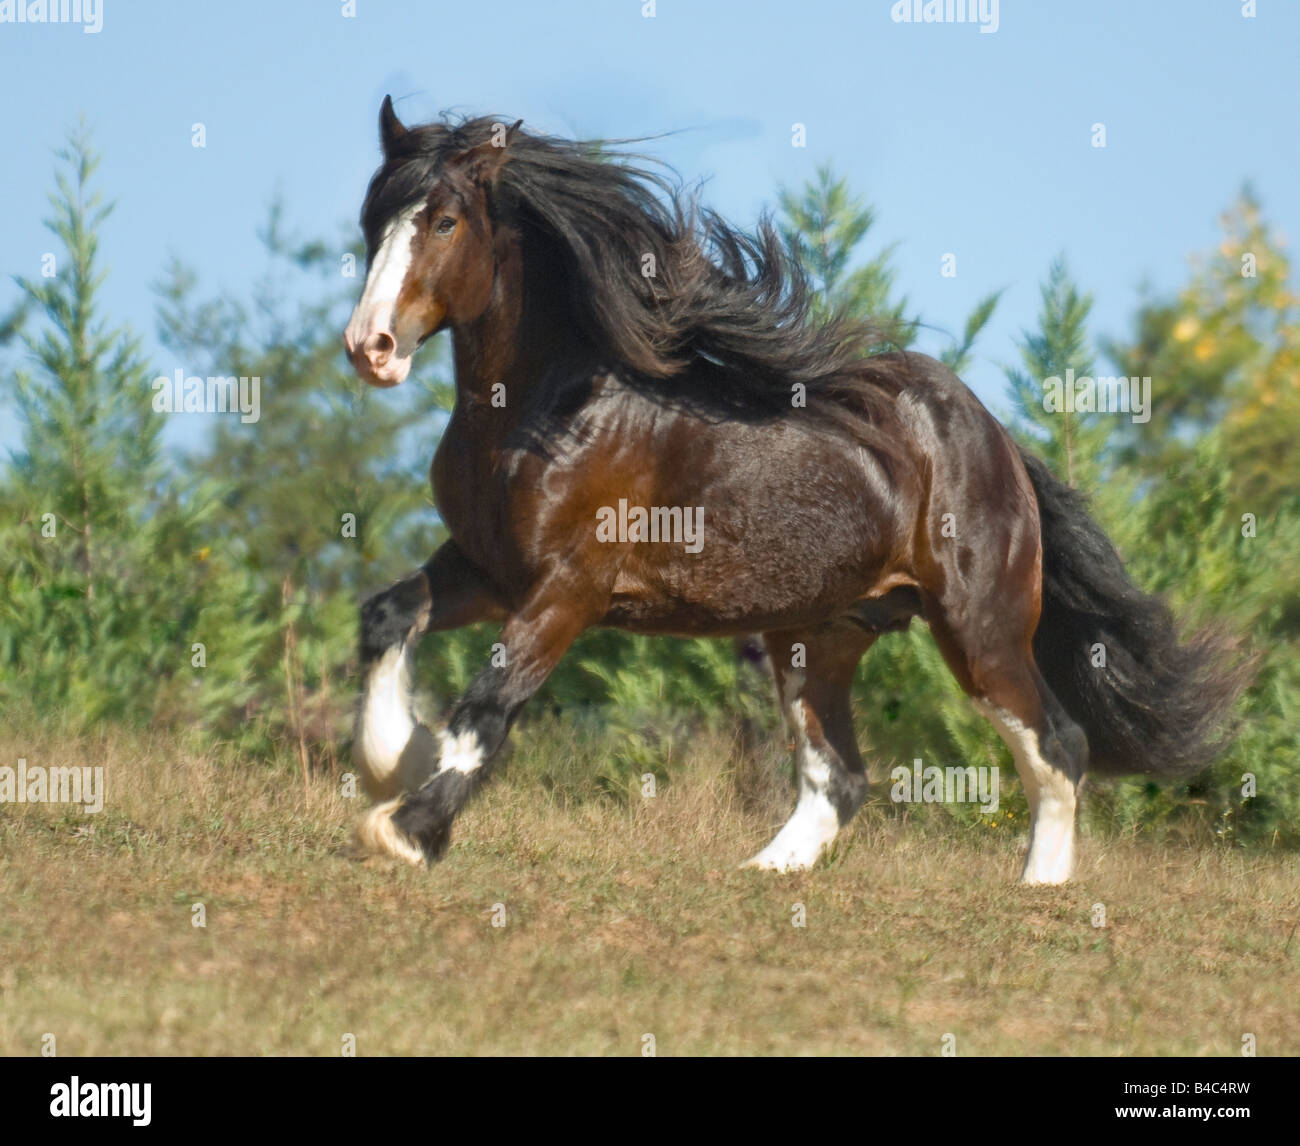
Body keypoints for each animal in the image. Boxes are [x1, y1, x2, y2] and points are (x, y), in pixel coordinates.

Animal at [341, 97, 1244, 884]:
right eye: (372, 221)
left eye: (444, 220)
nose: (369, 347)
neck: (547, 409)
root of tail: (996, 441)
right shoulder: (488, 567)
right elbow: (388, 616)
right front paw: (396, 756)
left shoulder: (568, 587)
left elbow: (487, 708)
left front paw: (408, 829)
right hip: (818, 635)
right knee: (839, 777)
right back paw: (764, 872)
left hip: (979, 630)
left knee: (1058, 744)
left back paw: (1040, 890)